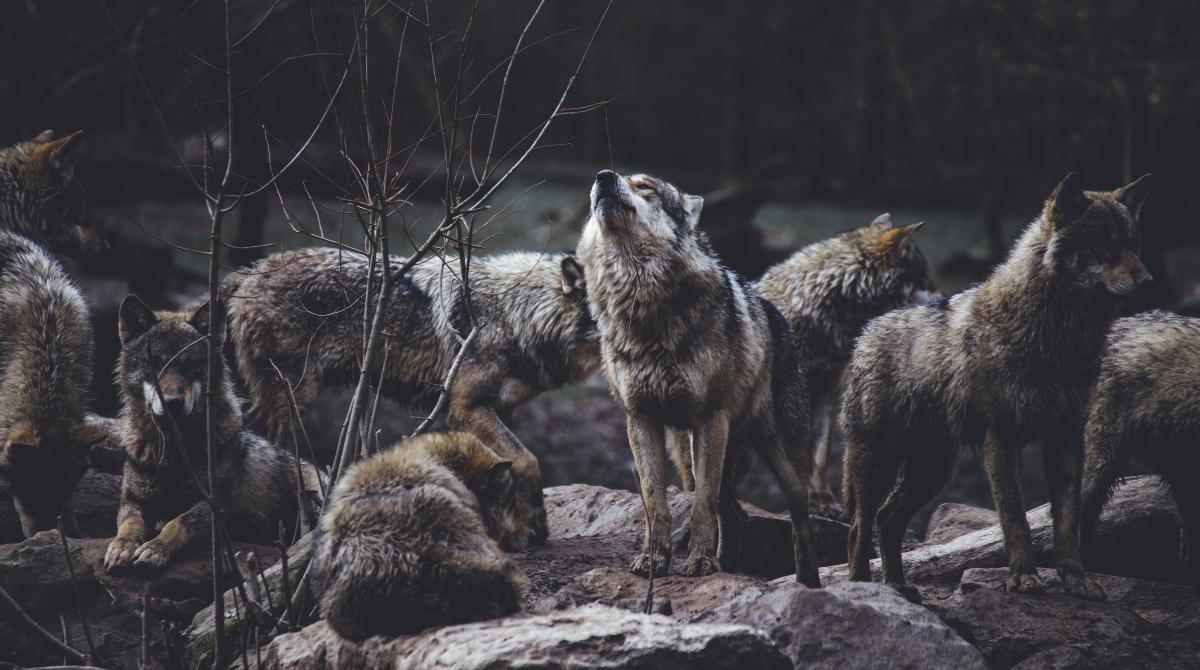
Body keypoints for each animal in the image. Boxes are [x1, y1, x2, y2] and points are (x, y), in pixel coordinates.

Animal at [104, 296, 325, 572]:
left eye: (191, 365)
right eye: (155, 364)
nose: (173, 402)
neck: (175, 452)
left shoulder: (215, 506)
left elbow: (177, 523)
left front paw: (155, 549)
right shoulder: (134, 501)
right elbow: (129, 524)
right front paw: (121, 547)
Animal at [223, 248, 600, 548]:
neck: (517, 314)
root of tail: (250, 270)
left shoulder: (502, 410)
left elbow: (510, 469)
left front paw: (521, 528)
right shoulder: (465, 407)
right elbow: (528, 461)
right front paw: (534, 524)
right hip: (293, 400)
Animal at [576, 169, 820, 585]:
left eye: (646, 187)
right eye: (609, 179)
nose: (604, 177)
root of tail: (775, 313)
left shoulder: (709, 417)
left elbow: (701, 507)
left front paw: (701, 563)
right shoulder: (640, 419)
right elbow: (654, 503)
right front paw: (654, 560)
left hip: (780, 460)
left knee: (799, 524)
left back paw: (808, 584)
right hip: (689, 455)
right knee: (735, 513)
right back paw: (730, 567)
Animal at [841, 173, 1152, 602]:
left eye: (1134, 244)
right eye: (1103, 244)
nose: (1147, 282)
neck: (1057, 337)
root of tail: (868, 330)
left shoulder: (1066, 437)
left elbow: (1067, 523)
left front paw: (1076, 580)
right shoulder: (1001, 437)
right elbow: (1015, 517)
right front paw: (1023, 578)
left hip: (932, 470)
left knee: (887, 519)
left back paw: (898, 587)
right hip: (880, 462)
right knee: (861, 524)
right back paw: (863, 588)